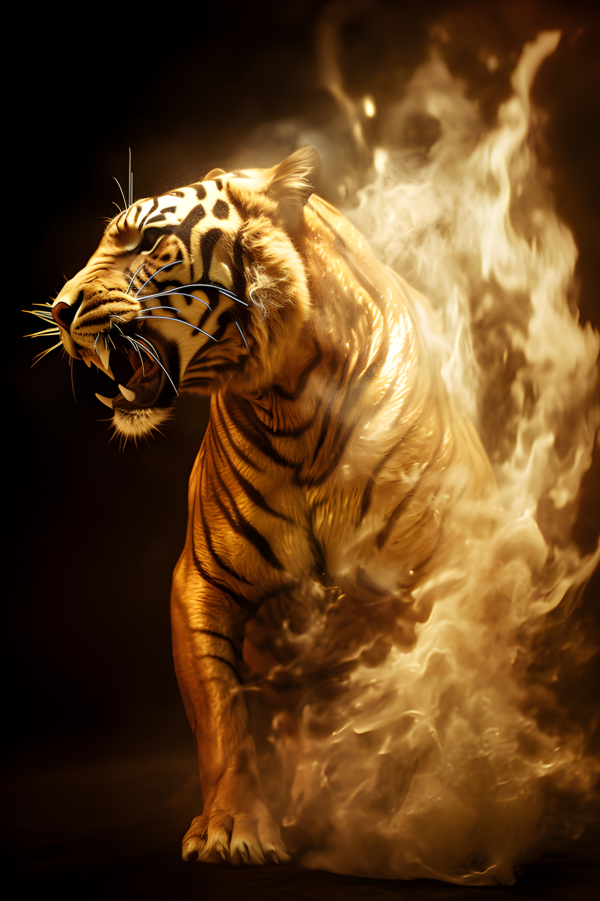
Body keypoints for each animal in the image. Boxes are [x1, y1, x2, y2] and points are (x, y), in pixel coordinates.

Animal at [47, 146, 495, 866]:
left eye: (146, 241)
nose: (59, 309)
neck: (291, 403)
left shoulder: (446, 574)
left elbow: (442, 698)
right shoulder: (201, 583)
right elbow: (222, 714)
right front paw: (233, 828)